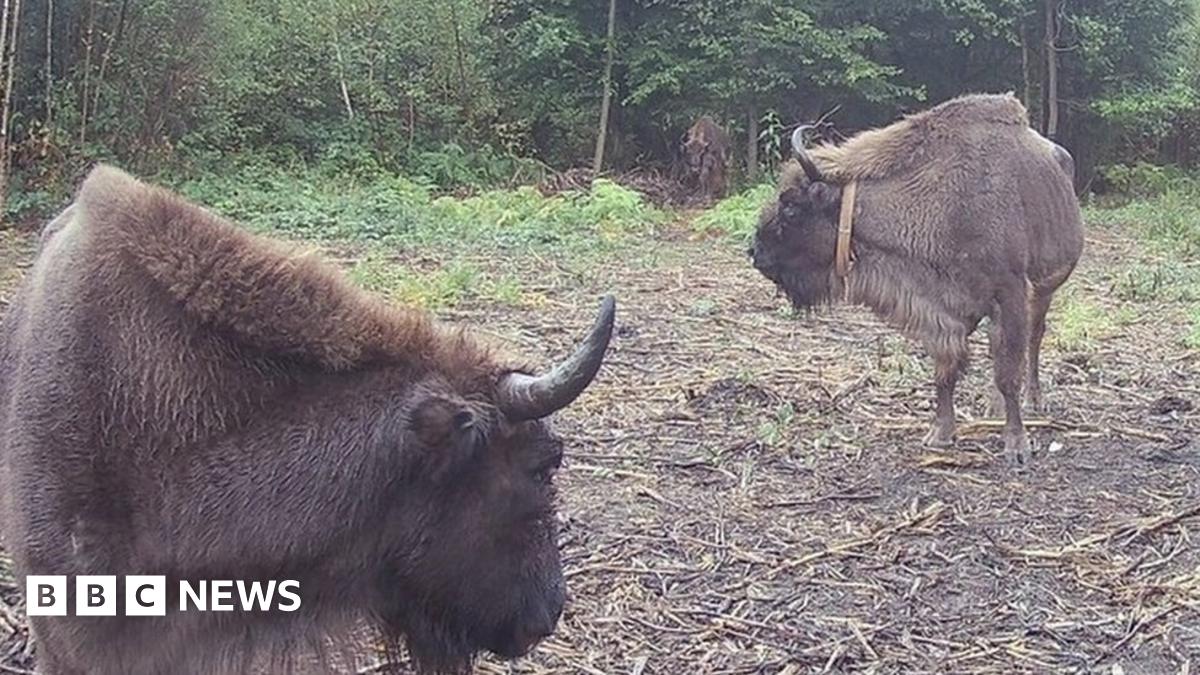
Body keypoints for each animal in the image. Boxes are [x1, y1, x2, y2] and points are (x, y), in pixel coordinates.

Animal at [749, 93, 1084, 464]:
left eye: (791, 207)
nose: (755, 252)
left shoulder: (1009, 292)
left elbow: (1008, 370)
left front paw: (1017, 445)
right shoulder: (944, 311)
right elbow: (947, 369)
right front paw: (940, 435)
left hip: (1044, 288)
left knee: (1034, 339)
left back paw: (1033, 401)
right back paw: (993, 406)